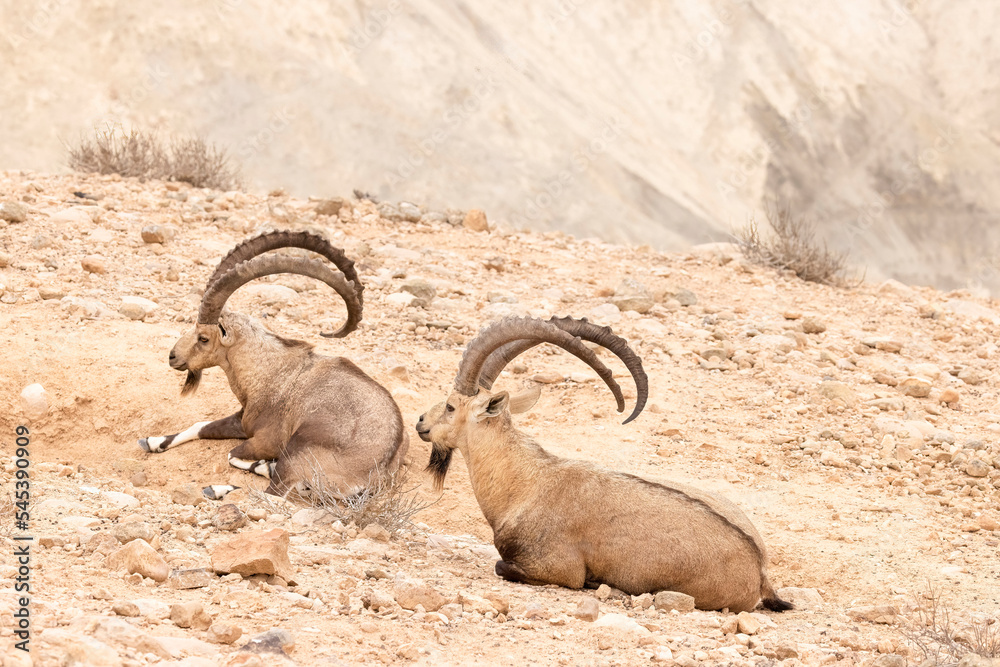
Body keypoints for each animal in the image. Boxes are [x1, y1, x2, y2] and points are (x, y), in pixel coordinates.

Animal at [138, 230, 408, 498]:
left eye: (203, 338)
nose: (173, 357)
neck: (272, 373)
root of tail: (371, 477)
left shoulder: (266, 440)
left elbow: (231, 454)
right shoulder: (242, 421)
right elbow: (202, 425)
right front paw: (152, 441)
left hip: (296, 452)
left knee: (272, 492)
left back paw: (218, 488)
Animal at [415, 316, 791, 613]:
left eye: (450, 406)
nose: (420, 422)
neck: (525, 482)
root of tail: (760, 573)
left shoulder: (556, 567)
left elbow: (502, 566)